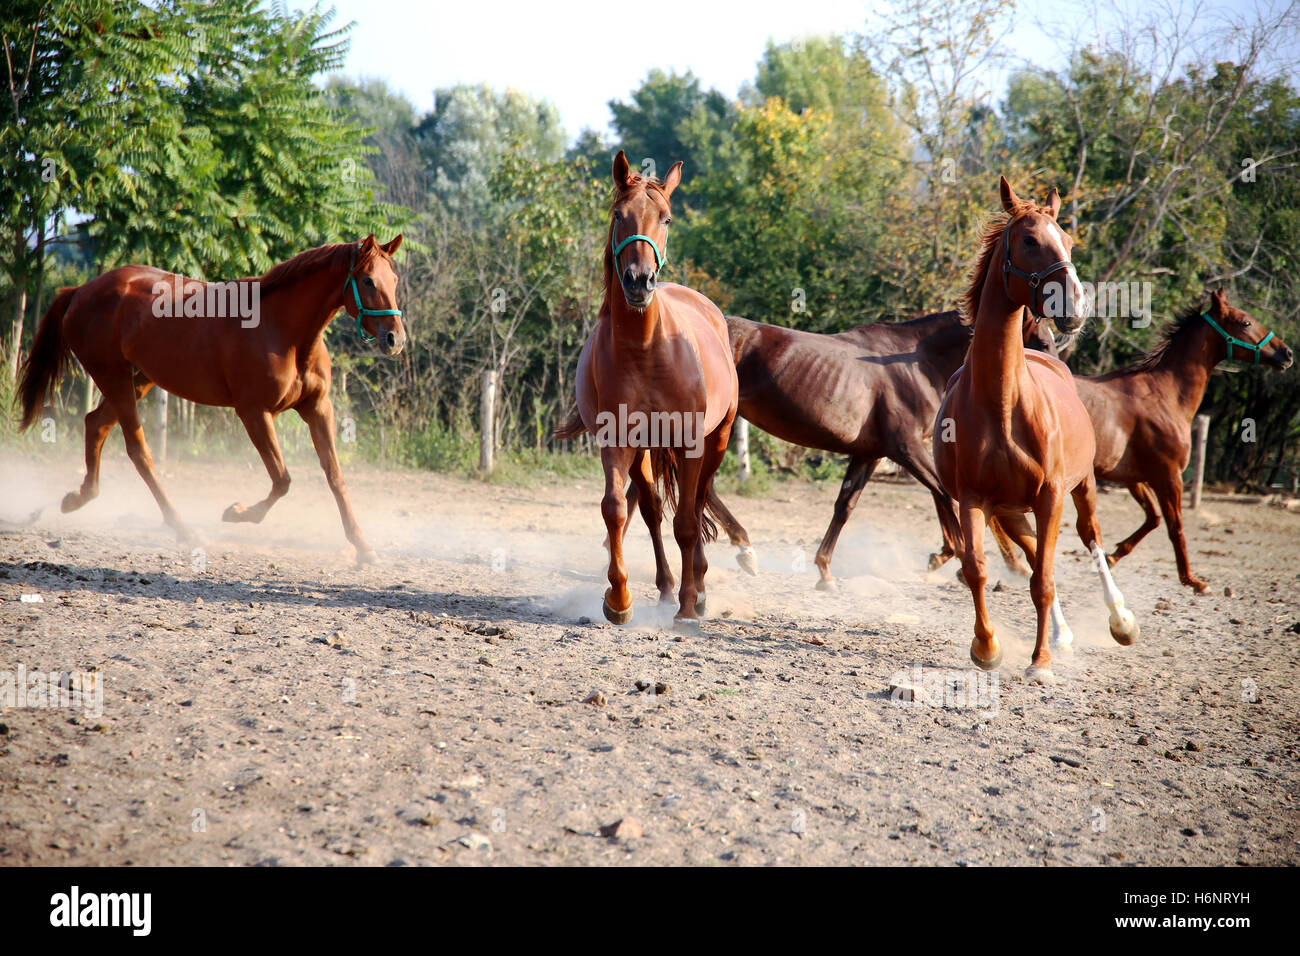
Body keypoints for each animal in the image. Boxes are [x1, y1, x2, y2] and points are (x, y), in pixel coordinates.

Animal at [17, 235, 405, 565]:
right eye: (368, 281)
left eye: (394, 279)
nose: (395, 339)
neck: (284, 331)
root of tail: (81, 290)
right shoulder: (254, 412)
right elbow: (282, 479)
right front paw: (237, 513)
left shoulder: (317, 408)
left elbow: (335, 476)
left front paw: (363, 547)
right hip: (114, 378)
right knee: (139, 452)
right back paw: (184, 529)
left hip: (138, 379)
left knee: (96, 425)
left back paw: (77, 498)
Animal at [573, 150, 737, 632]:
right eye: (618, 215)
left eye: (666, 218)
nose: (639, 281)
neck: (645, 349)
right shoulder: (616, 441)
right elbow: (615, 508)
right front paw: (619, 599)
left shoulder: (691, 442)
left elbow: (687, 522)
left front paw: (688, 607)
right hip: (645, 450)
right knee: (649, 509)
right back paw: (665, 588)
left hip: (716, 441)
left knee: (694, 505)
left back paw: (696, 589)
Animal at [935, 177, 1139, 683]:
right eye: (1029, 241)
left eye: (1067, 240)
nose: (1075, 308)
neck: (1002, 403)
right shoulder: (973, 499)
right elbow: (979, 569)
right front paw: (987, 647)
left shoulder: (1050, 495)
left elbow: (1044, 580)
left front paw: (1040, 661)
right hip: (1011, 510)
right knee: (1031, 555)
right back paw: (1062, 634)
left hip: (1081, 489)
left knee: (1091, 542)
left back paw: (1120, 620)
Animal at [1076, 288, 1293, 591]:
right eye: (1245, 322)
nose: (1287, 353)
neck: (1165, 395)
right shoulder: (1169, 477)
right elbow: (1175, 527)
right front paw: (1193, 580)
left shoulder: (1134, 477)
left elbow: (1153, 519)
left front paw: (1111, 557)